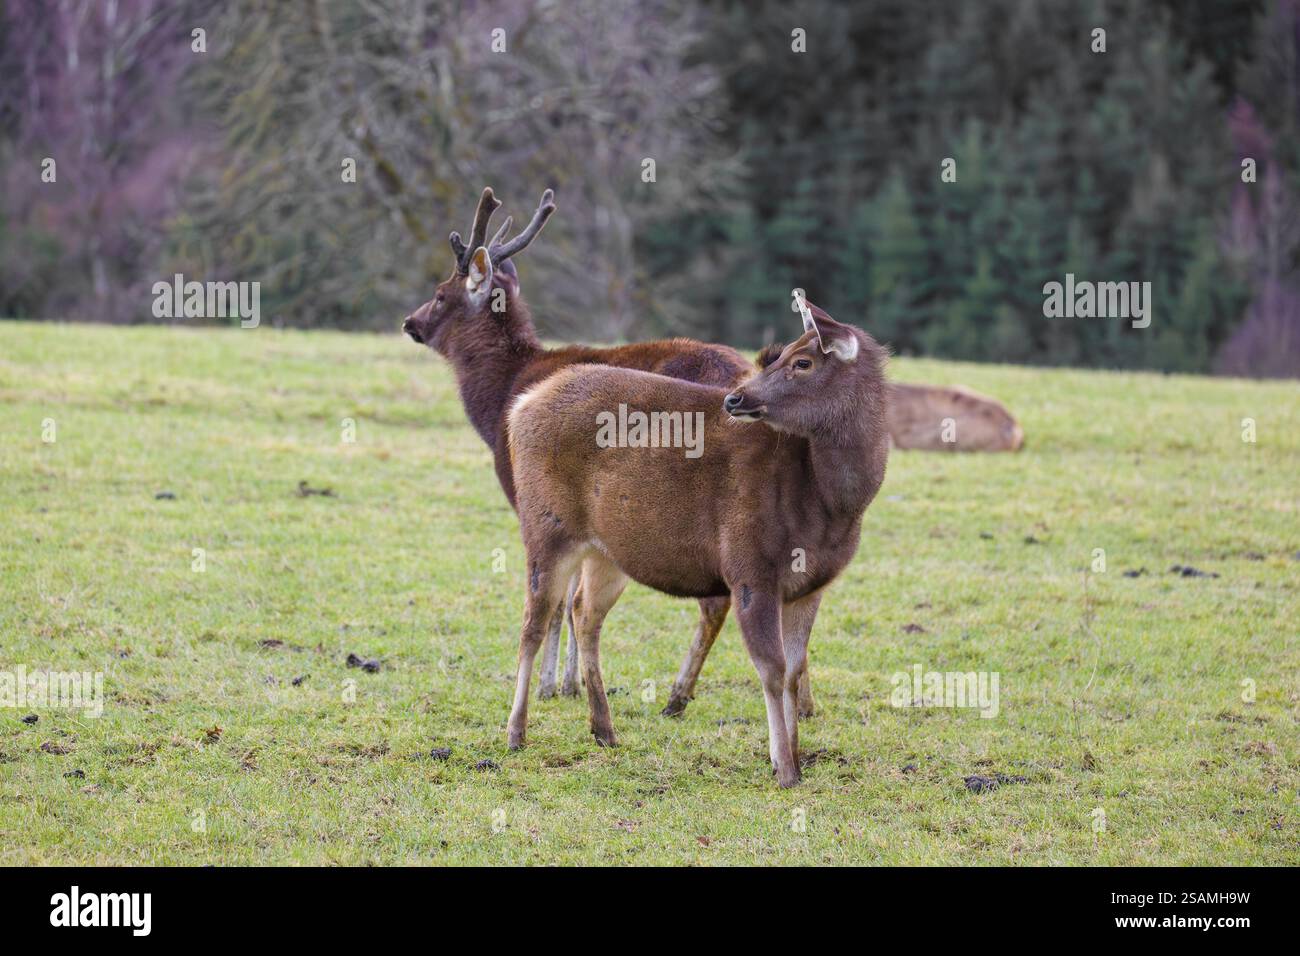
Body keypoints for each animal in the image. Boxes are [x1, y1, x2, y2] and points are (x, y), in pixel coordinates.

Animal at [401, 187, 821, 718]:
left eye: (440, 293)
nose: (410, 322)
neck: (500, 399)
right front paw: (570, 682)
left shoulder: (535, 495)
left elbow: (561, 599)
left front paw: (555, 685)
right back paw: (803, 702)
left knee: (717, 599)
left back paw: (679, 695)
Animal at [505, 298, 889, 786]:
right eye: (779, 354)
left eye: (802, 361)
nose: (735, 398)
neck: (829, 505)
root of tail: (521, 406)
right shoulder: (750, 567)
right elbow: (772, 669)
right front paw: (783, 767)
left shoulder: (812, 585)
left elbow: (795, 668)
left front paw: (796, 757)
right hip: (546, 525)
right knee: (532, 622)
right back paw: (516, 733)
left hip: (607, 550)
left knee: (584, 614)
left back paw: (604, 729)